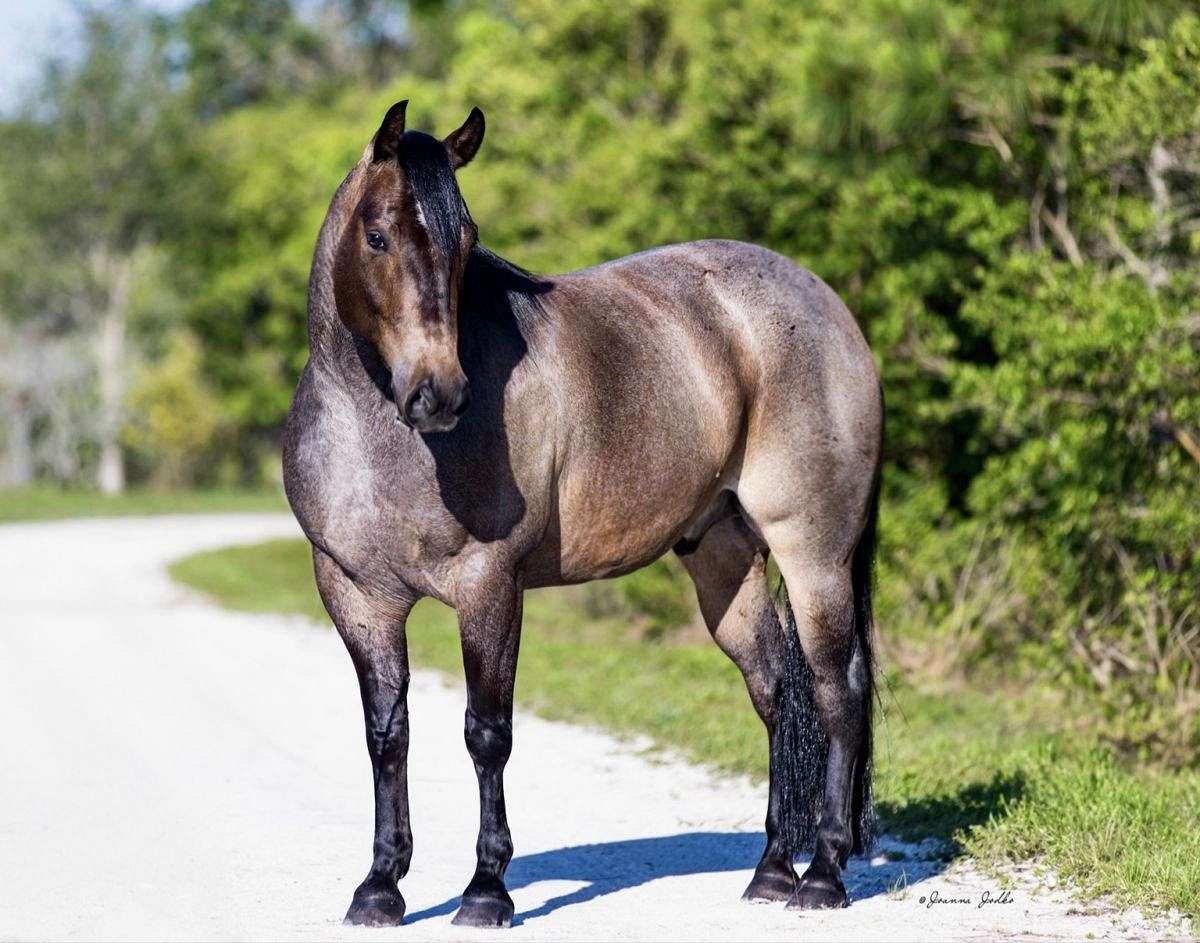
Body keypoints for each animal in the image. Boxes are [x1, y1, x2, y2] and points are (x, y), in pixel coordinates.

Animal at [282, 100, 883, 929]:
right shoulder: (356, 595)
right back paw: (769, 871)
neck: (376, 438)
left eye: (465, 238)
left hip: (815, 555)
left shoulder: (489, 587)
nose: (440, 393)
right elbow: (386, 736)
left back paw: (822, 874)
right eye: (377, 235)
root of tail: (829, 307)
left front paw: (486, 890)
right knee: (774, 691)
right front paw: (379, 886)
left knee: (836, 691)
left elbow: (486, 733)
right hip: (723, 561)